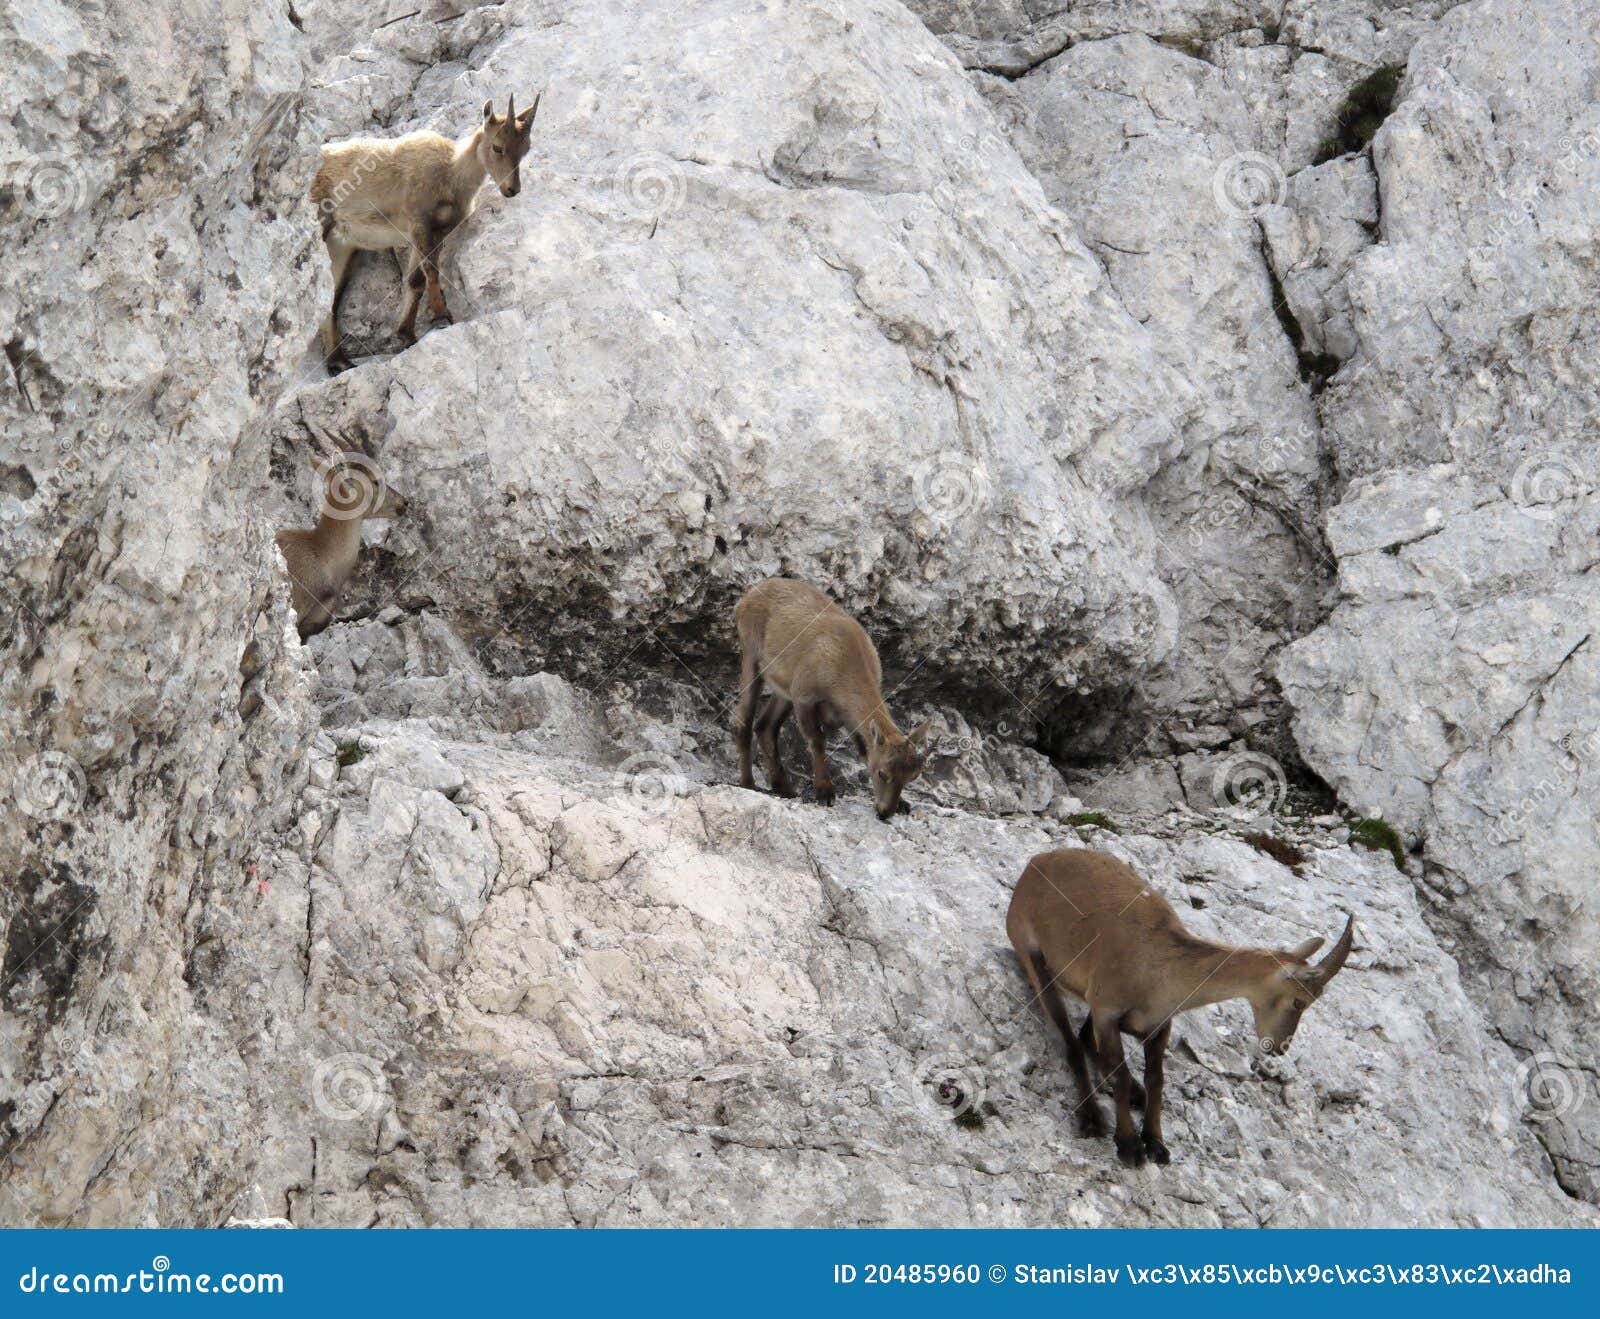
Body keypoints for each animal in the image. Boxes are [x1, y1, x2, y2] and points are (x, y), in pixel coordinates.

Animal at [310, 93, 540, 372]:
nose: (512, 189)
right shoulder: (418, 222)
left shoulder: (435, 232)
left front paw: (406, 334)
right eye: (497, 147)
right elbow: (430, 270)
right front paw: (441, 315)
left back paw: (339, 361)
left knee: (330, 298)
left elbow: (415, 280)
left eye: (525, 149)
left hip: (340, 245)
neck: (451, 172)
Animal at [734, 578, 931, 820]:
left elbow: (864, 749)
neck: (844, 662)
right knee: (744, 720)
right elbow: (817, 740)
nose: (885, 812)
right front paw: (824, 791)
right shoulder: (804, 698)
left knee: (765, 727)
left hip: (783, 690)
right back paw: (748, 783)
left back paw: (784, 787)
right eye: (883, 773)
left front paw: (903, 803)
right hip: (751, 654)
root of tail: (749, 595)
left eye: (911, 777)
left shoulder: (847, 716)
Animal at [1006, 847, 1354, 1167]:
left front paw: (1155, 1142)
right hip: (1035, 960)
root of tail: (1033, 865)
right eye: (1298, 1000)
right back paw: (1091, 1116)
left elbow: (1156, 1079)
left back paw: (1134, 1095)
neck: (1161, 968)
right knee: (1072, 1043)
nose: (1280, 1047)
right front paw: (1129, 1145)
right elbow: (1120, 1073)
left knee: (1085, 1040)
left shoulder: (1161, 1023)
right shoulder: (1107, 1011)